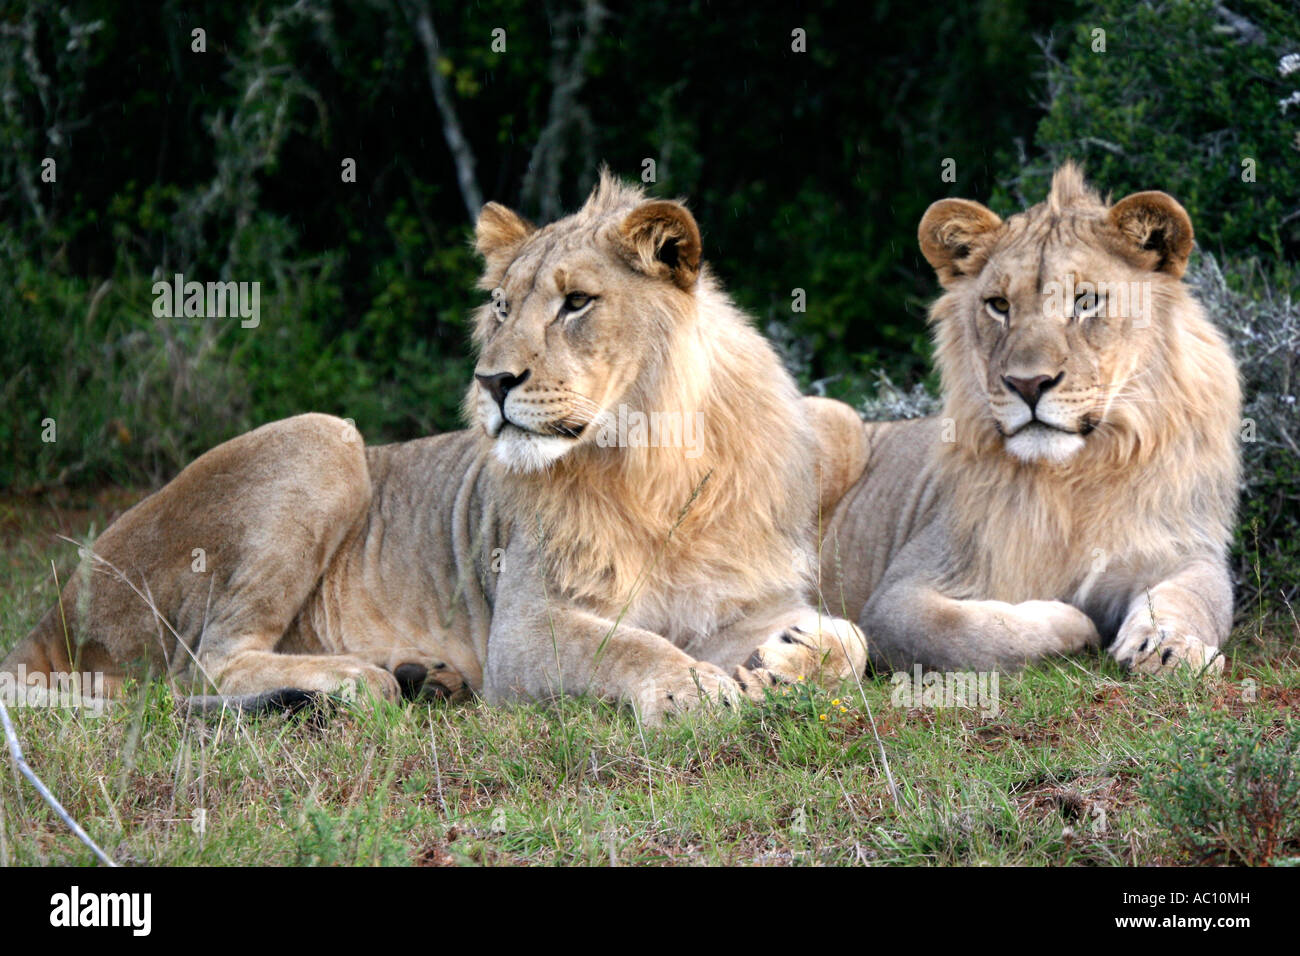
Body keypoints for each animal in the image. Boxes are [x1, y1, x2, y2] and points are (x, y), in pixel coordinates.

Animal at [1, 171, 866, 724]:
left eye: (577, 303)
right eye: (502, 306)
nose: (493, 381)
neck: (652, 467)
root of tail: (57, 609)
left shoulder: (737, 600)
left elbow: (852, 642)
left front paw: (791, 652)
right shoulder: (524, 631)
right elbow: (629, 648)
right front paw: (694, 688)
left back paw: (425, 678)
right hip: (323, 436)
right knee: (210, 663)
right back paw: (360, 682)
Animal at [809, 163, 1240, 677]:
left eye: (1086, 301)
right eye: (999, 305)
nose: (1029, 384)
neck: (1076, 477)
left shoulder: (1184, 549)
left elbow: (1191, 598)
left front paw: (1169, 648)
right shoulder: (900, 595)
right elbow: (968, 635)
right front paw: (1075, 622)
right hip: (838, 420)